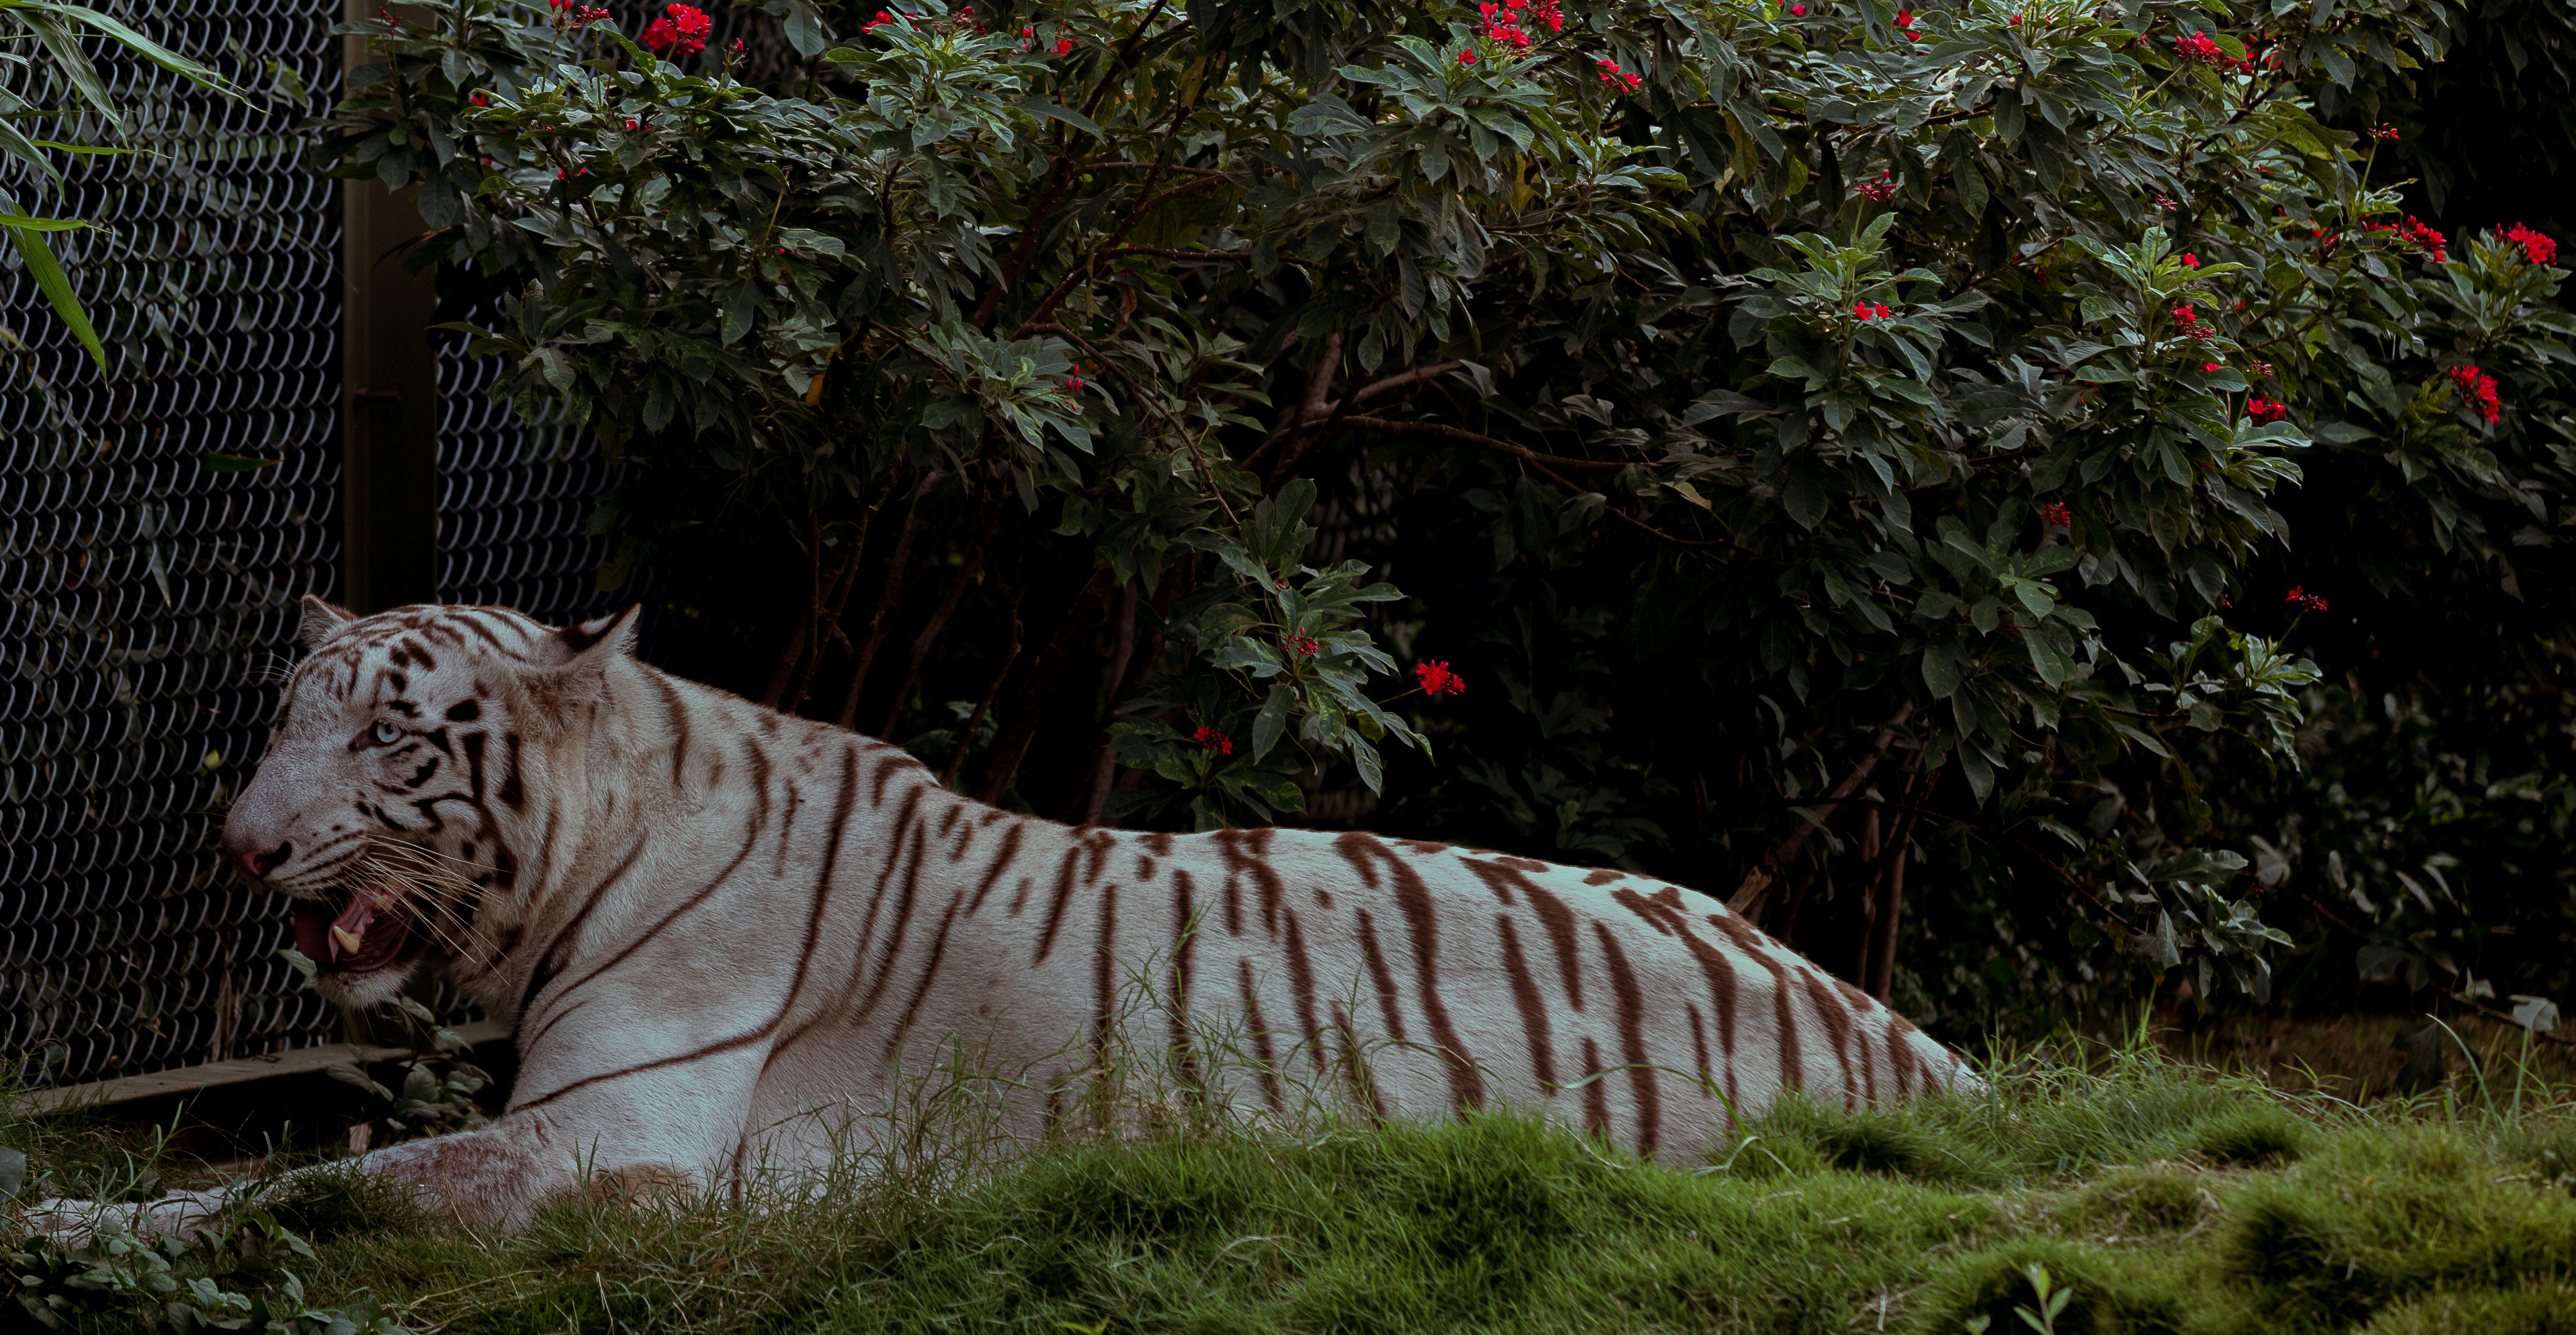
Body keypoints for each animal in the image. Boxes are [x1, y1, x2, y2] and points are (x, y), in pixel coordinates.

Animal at [24, 597, 1974, 1238]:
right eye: (290, 717)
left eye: (386, 735)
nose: (241, 846)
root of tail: (1916, 1043)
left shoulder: (611, 1136)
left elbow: (311, 1183)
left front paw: (67, 1224)